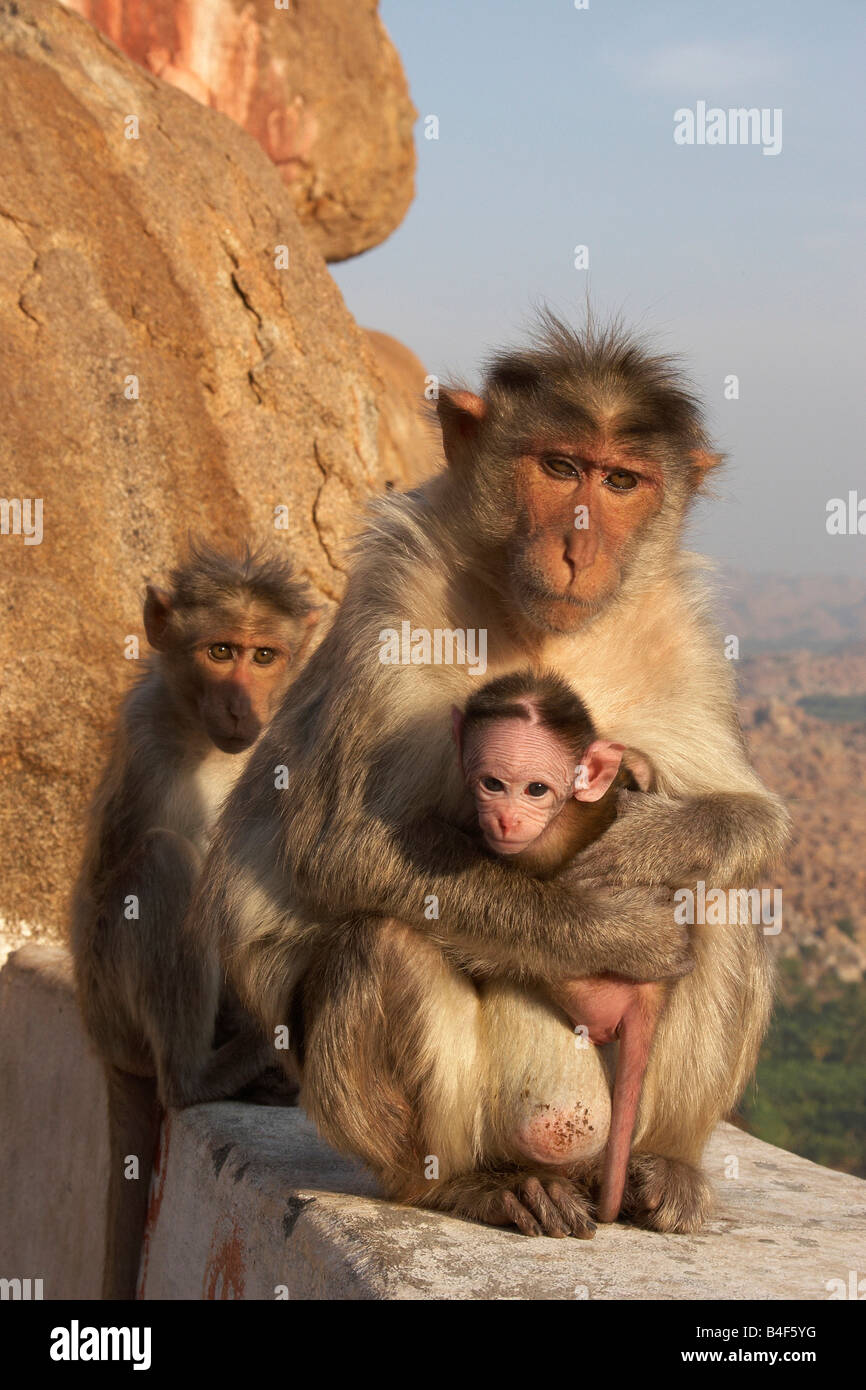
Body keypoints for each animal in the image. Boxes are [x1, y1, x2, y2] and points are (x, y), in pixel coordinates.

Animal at [70, 540, 318, 1297]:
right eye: (220, 650)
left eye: (263, 656)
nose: (241, 704)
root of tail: (102, 1042)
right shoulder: (146, 736)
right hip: (111, 996)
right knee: (162, 863)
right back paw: (205, 1073)